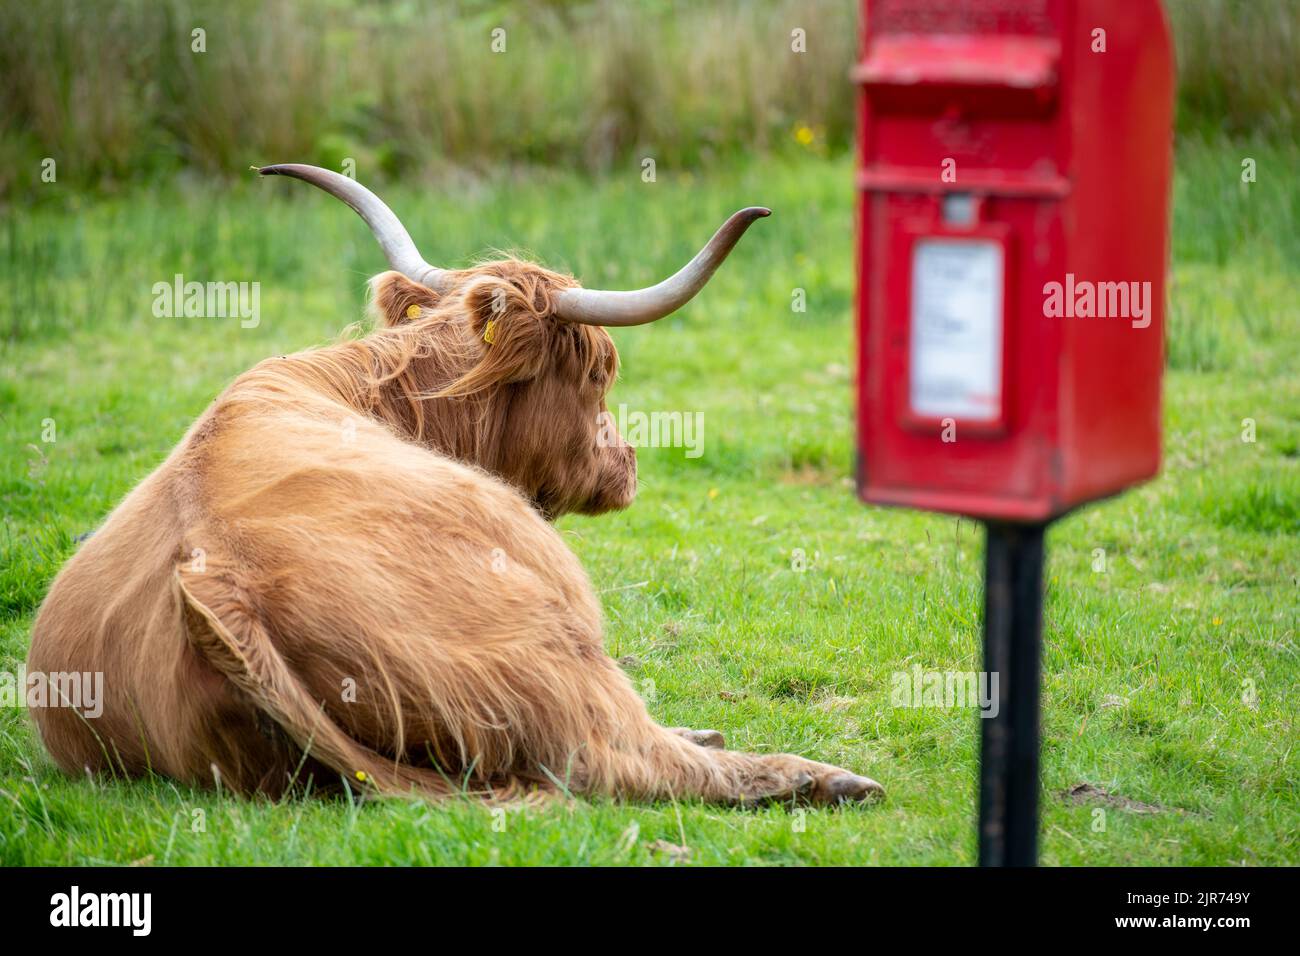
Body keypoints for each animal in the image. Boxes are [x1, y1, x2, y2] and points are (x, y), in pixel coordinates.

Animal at [26, 165, 884, 807]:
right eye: (601, 371)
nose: (629, 462)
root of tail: (218, 587)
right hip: (555, 641)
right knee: (620, 758)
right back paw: (820, 777)